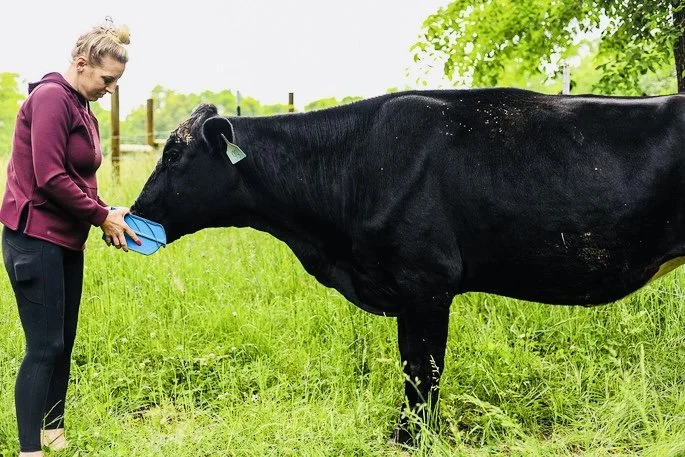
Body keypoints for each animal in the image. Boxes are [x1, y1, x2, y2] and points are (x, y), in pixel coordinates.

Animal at [130, 88, 685, 445]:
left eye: (174, 155)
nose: (135, 212)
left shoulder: (426, 284)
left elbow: (422, 369)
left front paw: (413, 438)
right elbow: (411, 366)